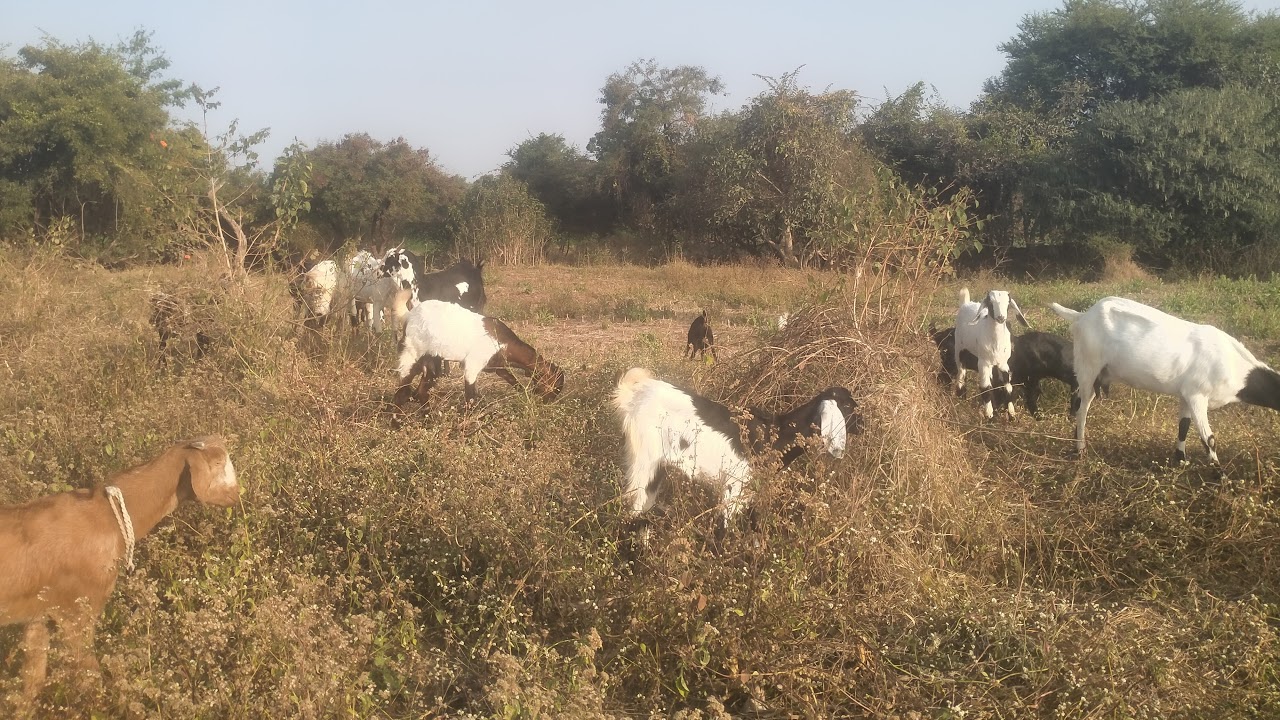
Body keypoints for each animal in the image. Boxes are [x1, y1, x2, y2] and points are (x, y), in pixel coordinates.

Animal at [0, 436, 240, 699]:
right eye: (217, 462)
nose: (237, 494)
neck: (106, 518)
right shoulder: (76, 612)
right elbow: (90, 678)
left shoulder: (37, 613)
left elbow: (33, 680)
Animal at [394, 300, 565, 408]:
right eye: (555, 386)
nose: (548, 403)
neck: (502, 340)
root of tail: (409, 315)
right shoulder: (472, 367)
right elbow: (470, 399)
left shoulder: (498, 367)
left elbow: (515, 382)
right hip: (412, 353)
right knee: (404, 388)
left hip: (431, 361)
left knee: (420, 392)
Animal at [613, 368, 860, 529]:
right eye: (848, 405)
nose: (863, 424)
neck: (774, 435)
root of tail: (633, 396)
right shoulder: (733, 490)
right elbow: (723, 533)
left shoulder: (752, 493)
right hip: (644, 461)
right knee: (633, 513)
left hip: (658, 466)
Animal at [954, 288, 1029, 419]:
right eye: (990, 303)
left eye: (1008, 302)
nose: (1001, 317)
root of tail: (965, 303)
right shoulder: (983, 363)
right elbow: (986, 388)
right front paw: (989, 415)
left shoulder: (1004, 364)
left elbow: (1008, 387)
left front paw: (1012, 415)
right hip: (959, 349)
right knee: (961, 374)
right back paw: (961, 399)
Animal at [1051, 296, 1280, 464]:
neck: (1237, 367)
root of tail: (1081, 316)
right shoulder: (1198, 395)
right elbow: (1209, 439)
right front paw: (1219, 477)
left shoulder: (1186, 394)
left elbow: (1184, 426)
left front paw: (1180, 460)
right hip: (1088, 367)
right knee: (1081, 409)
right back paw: (1080, 449)